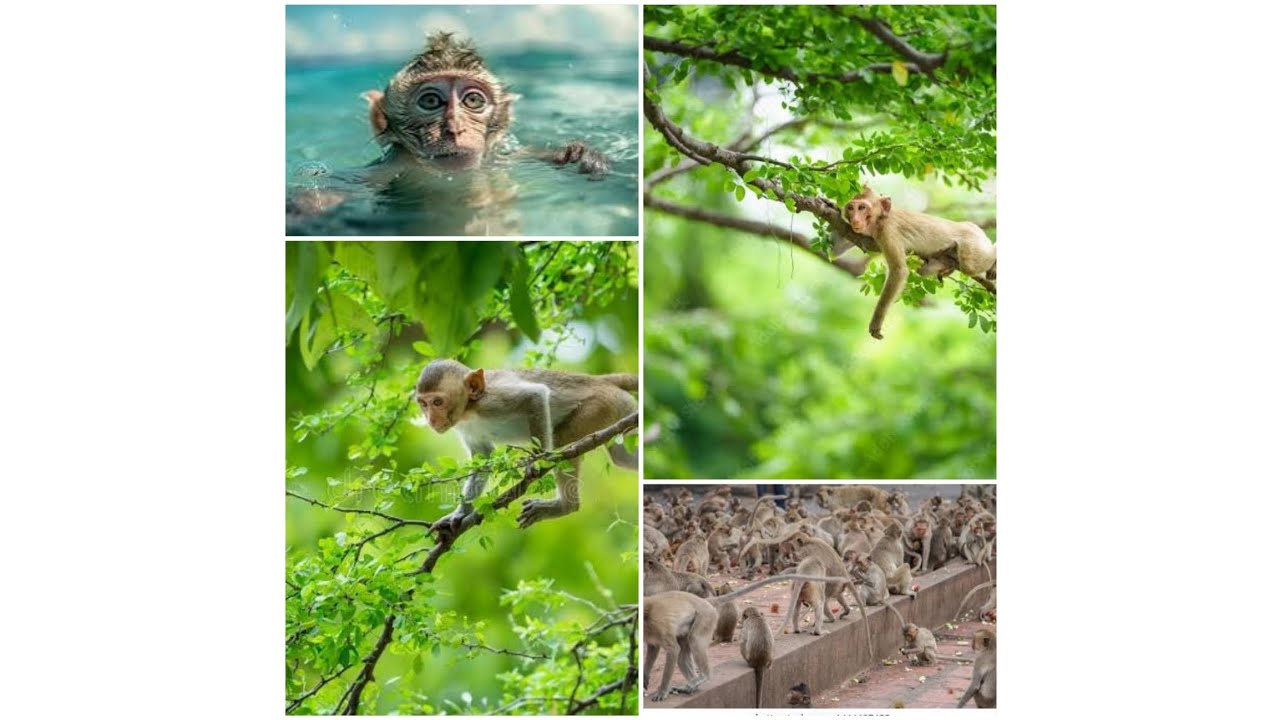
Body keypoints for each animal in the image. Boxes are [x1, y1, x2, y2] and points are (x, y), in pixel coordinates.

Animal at [414, 359, 637, 538]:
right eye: (423, 404)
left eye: (437, 402)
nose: (431, 420)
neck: (469, 409)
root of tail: (600, 380)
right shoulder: (466, 427)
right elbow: (484, 457)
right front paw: (459, 514)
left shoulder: (493, 400)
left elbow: (534, 396)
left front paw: (537, 461)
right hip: (620, 407)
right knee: (622, 457)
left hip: (599, 405)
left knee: (560, 442)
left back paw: (566, 506)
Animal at [843, 186, 997, 339]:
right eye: (851, 208)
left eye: (862, 207)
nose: (855, 219)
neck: (880, 220)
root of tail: (972, 226)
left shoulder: (887, 231)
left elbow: (899, 271)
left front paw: (876, 322)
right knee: (924, 269)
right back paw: (947, 265)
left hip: (973, 240)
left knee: (969, 266)